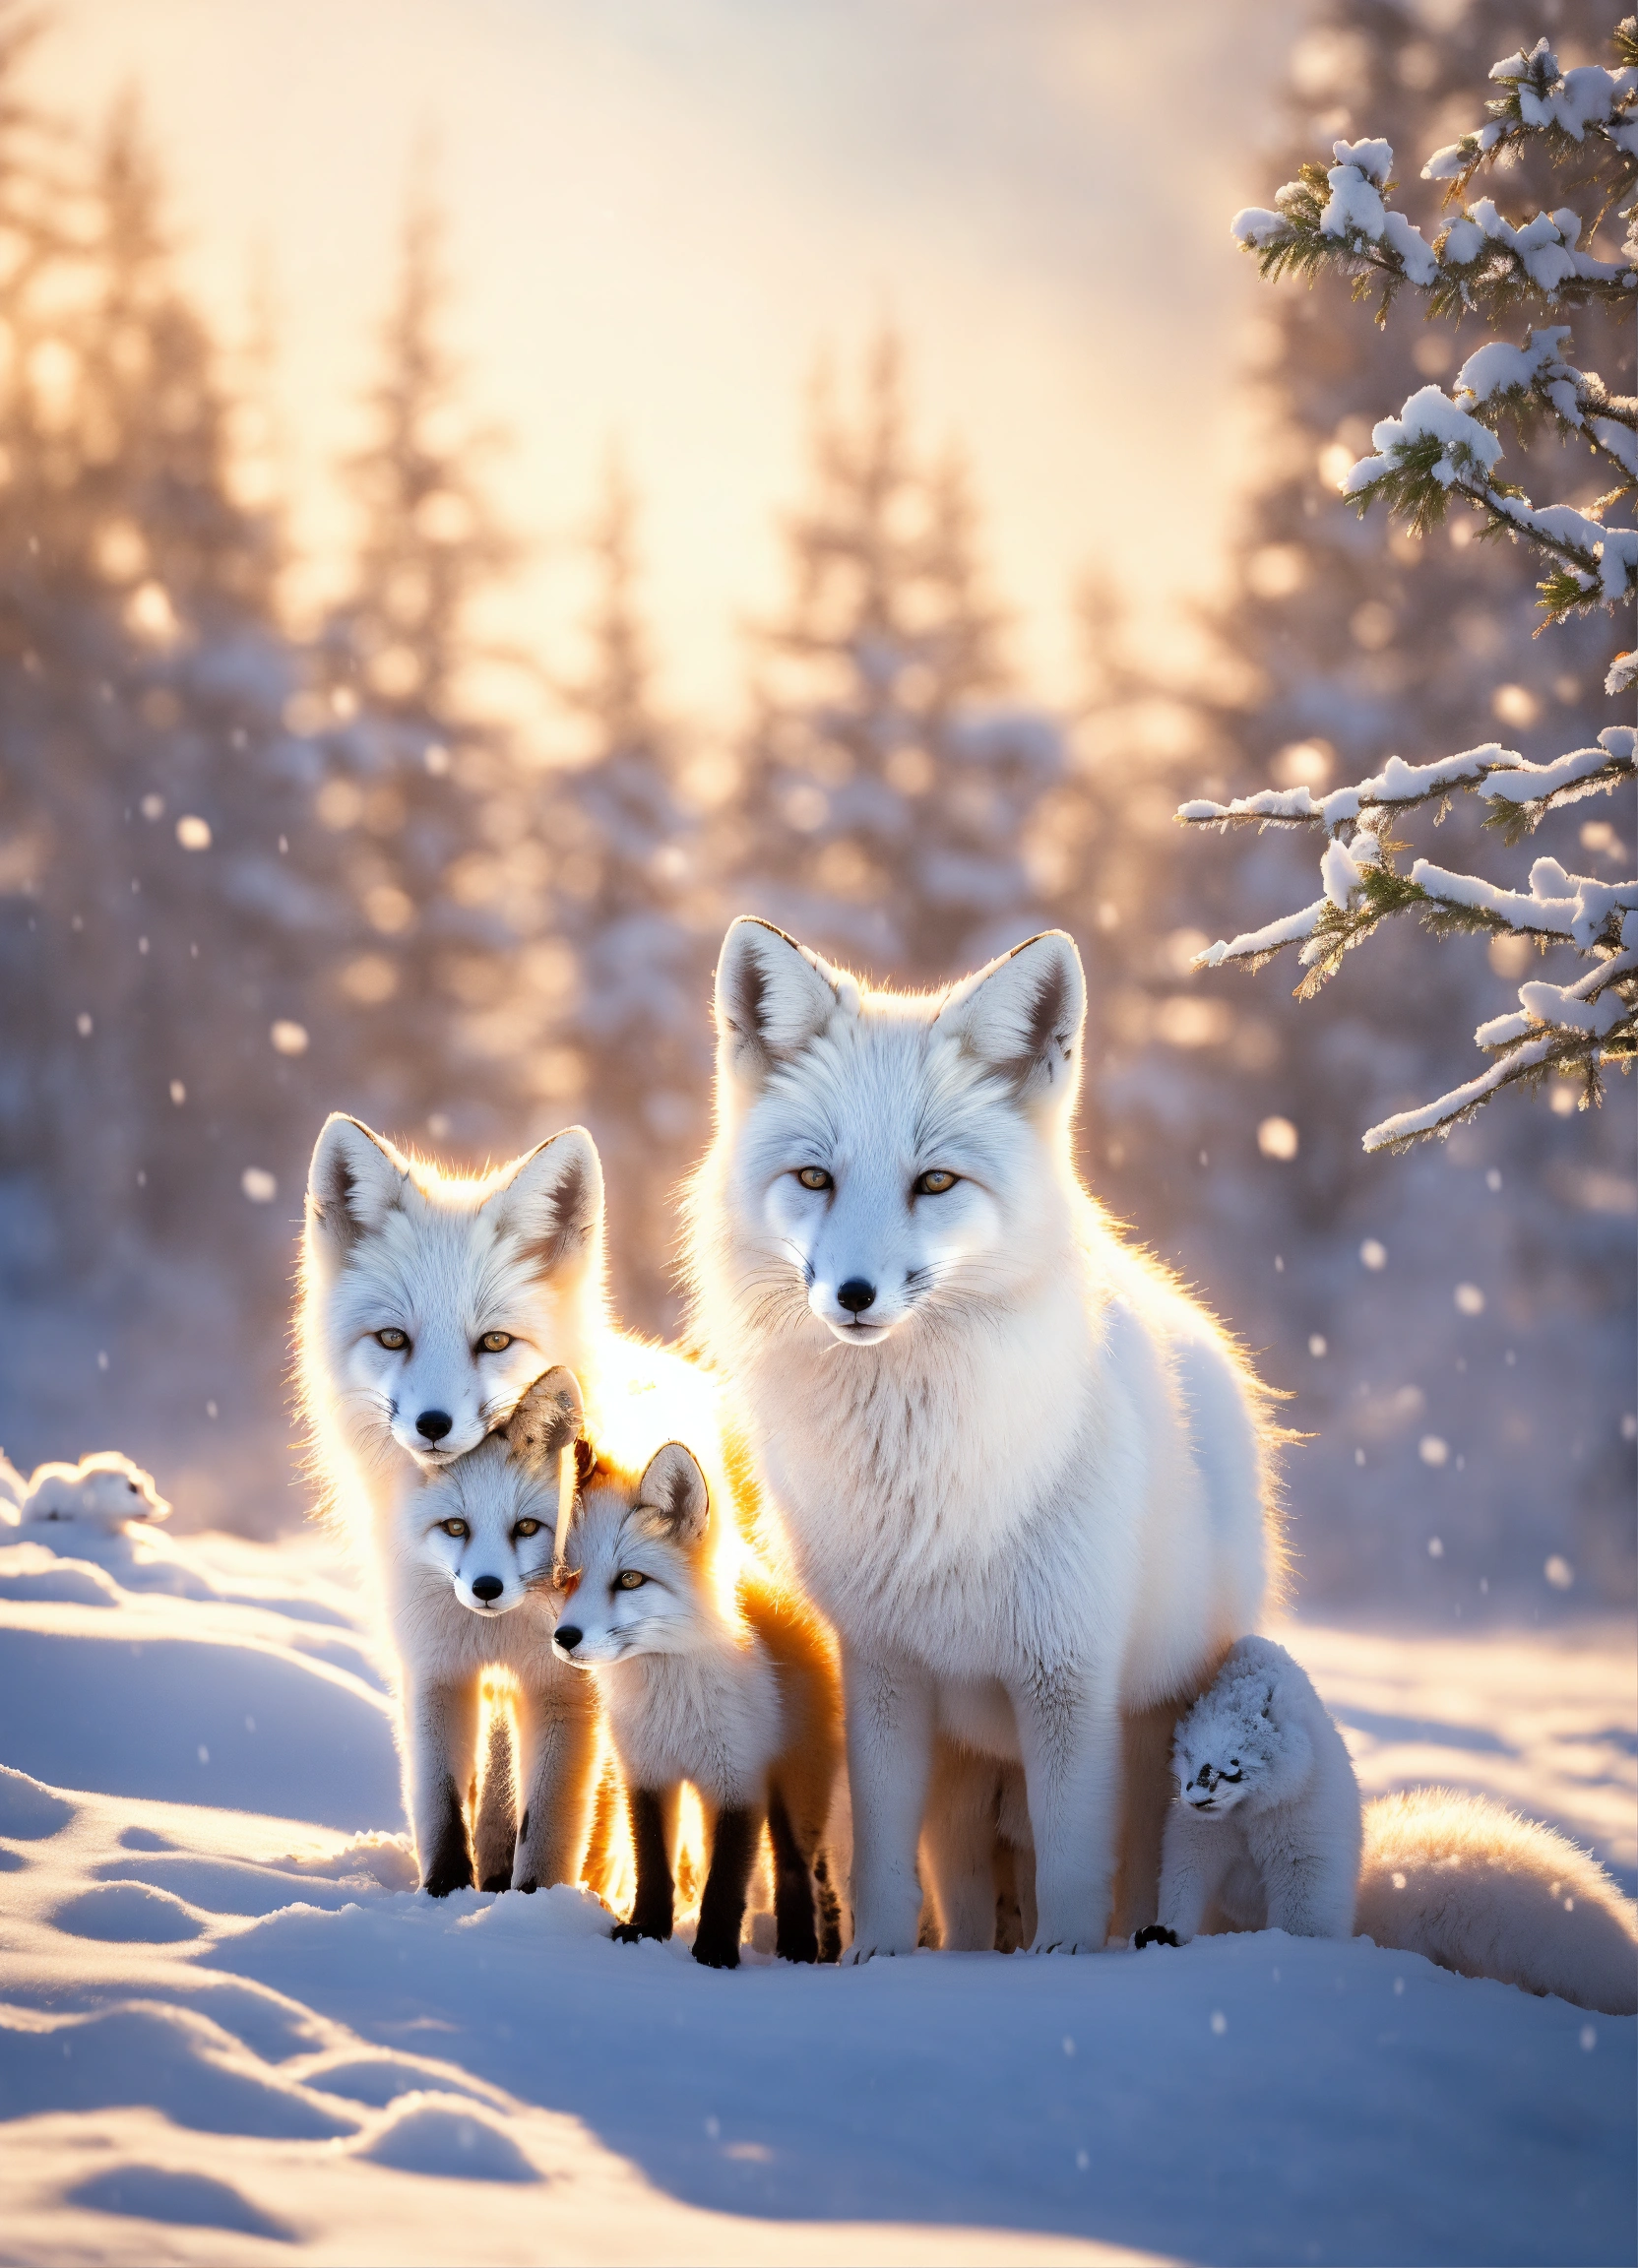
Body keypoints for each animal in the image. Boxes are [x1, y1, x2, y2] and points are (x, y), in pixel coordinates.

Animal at [298, 1111, 729, 1895]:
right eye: (393, 1339)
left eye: (494, 1341)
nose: (432, 1425)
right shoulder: (435, 1669)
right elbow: (443, 1811)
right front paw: (444, 1900)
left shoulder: (566, 1688)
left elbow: (550, 1826)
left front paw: (530, 1909)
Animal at [546, 1369, 843, 1970]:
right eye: (567, 1578)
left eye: (630, 1580)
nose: (565, 1639)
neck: (672, 1703)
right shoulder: (647, 1773)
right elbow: (656, 1866)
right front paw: (647, 1931)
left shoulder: (738, 1780)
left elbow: (727, 1882)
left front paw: (714, 1954)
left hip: (794, 1792)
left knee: (794, 1870)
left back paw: (800, 1950)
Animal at [685, 917, 1284, 1960]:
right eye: (814, 1178)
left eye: (935, 1182)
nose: (853, 1296)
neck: (922, 1484)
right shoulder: (885, 1666)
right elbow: (881, 1861)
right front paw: (876, 1962)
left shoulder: (1067, 1679)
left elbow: (1076, 1868)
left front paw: (1064, 1965)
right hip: (962, 1784)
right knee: (963, 1902)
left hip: (1151, 1747)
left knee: (1132, 1877)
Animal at [1137, 1634, 1363, 1948]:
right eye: (1188, 1754)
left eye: (1233, 1766)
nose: (1194, 1800)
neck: (1248, 1814)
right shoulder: (1197, 1835)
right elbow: (1185, 1877)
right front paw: (1163, 1931)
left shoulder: (1305, 1843)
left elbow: (1304, 1914)